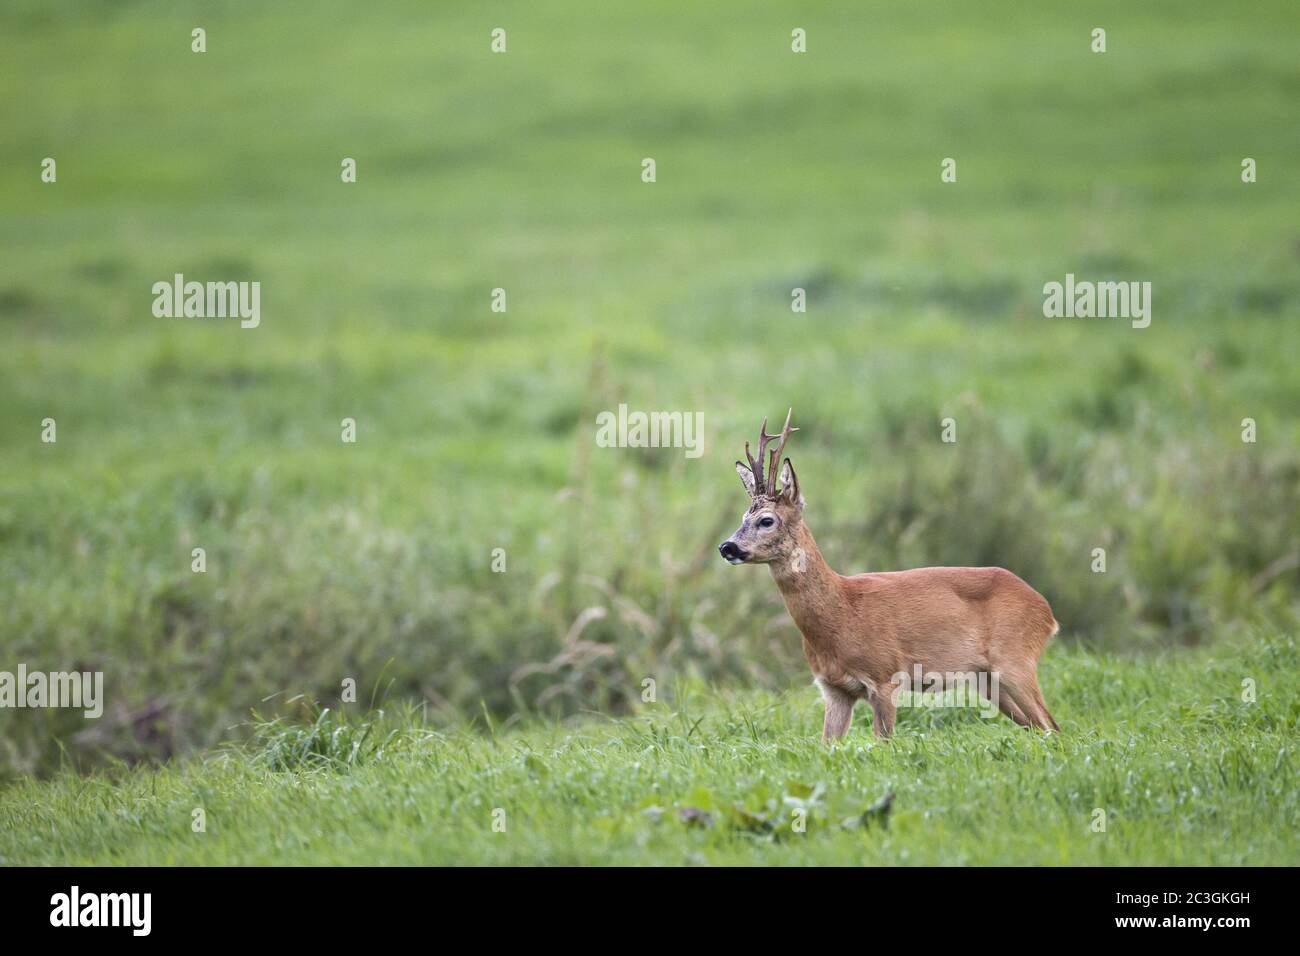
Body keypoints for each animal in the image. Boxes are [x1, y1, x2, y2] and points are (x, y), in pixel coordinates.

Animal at [719, 410, 1061, 740]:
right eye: (742, 517)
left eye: (766, 520)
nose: (727, 546)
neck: (841, 613)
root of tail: (1047, 613)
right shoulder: (834, 689)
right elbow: (827, 745)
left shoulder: (886, 676)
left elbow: (884, 741)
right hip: (987, 679)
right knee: (1042, 727)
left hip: (1015, 660)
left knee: (1051, 725)